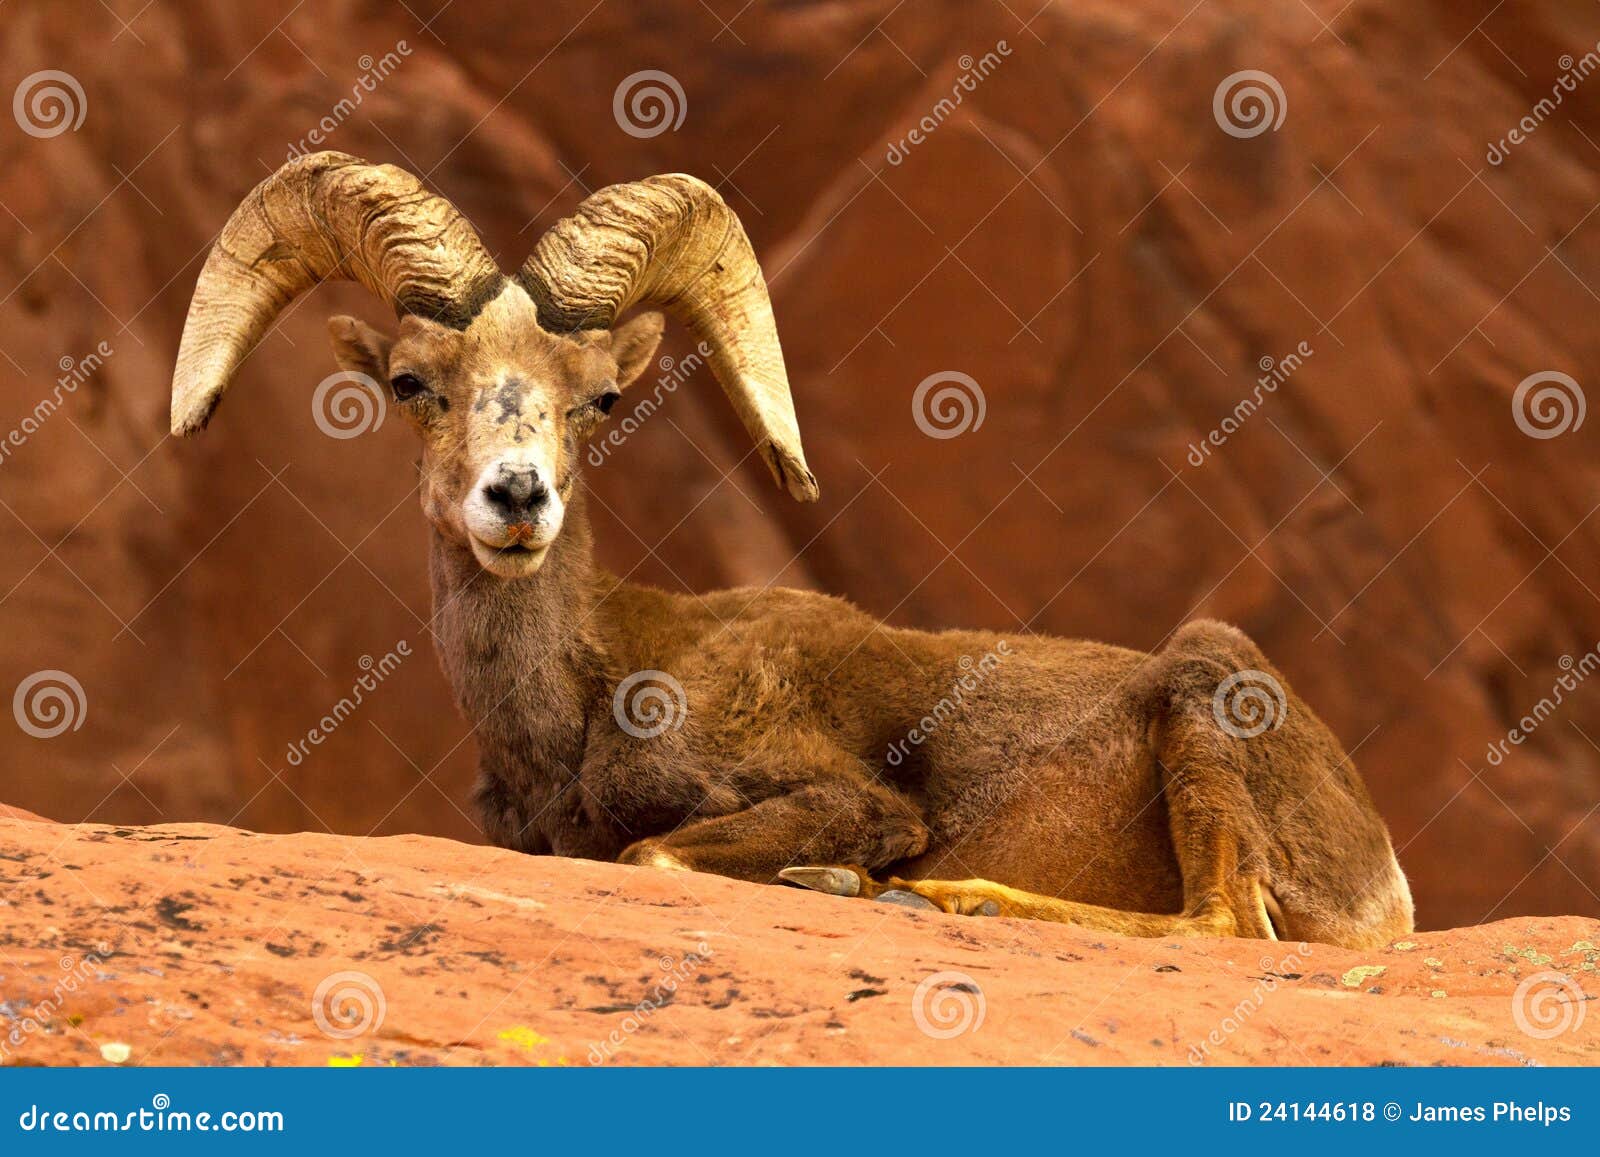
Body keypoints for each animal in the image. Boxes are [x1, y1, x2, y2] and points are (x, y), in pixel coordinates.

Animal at [170, 152, 1414, 948]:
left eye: (601, 396)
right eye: (410, 383)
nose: (516, 497)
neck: (579, 704)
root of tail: (1383, 883)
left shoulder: (850, 800)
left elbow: (650, 854)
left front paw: (847, 878)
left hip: (1206, 689)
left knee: (1222, 926)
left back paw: (926, 899)